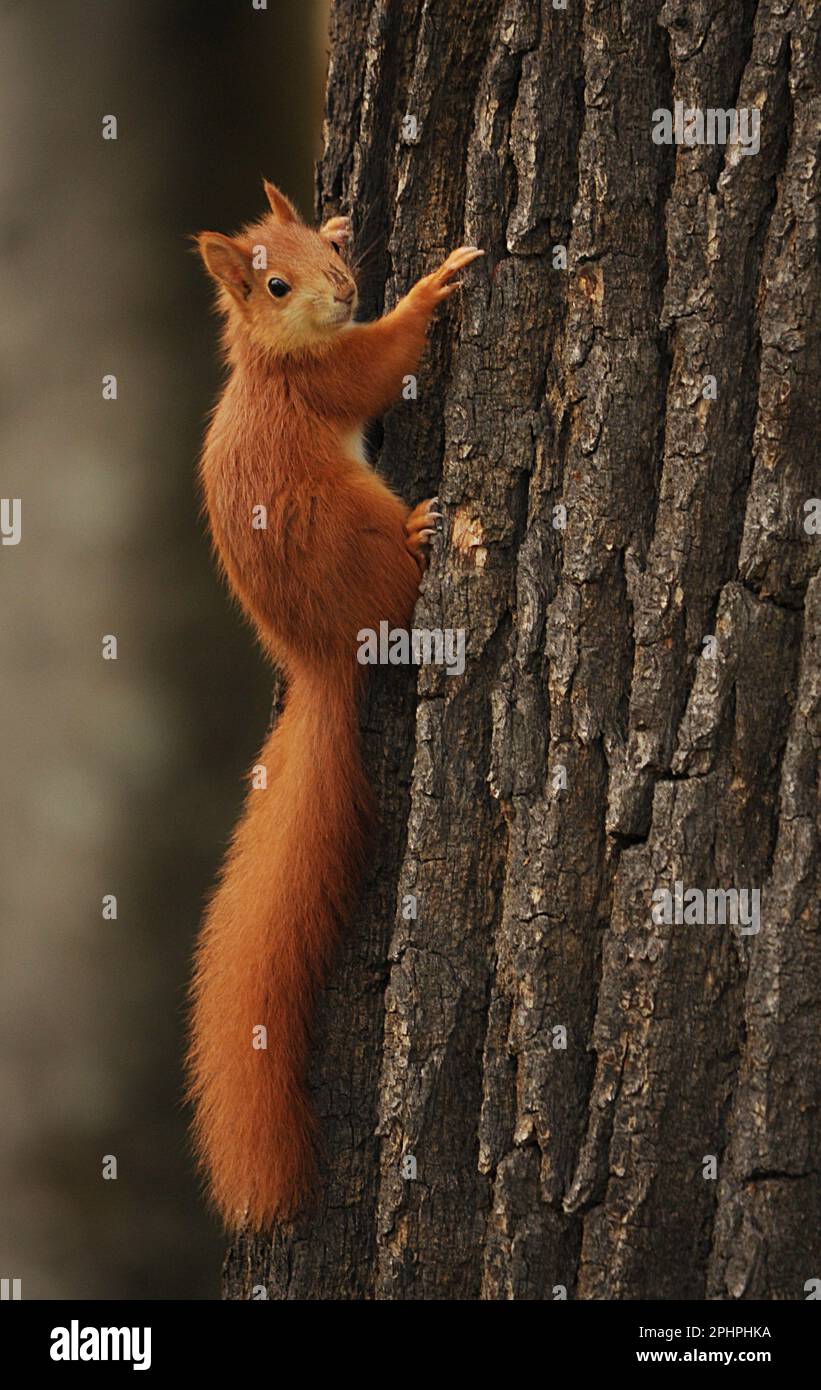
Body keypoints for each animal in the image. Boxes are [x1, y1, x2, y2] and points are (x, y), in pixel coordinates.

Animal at [186, 177, 483, 1229]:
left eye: (319, 248)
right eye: (272, 285)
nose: (347, 281)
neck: (273, 359)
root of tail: (315, 660)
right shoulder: (333, 379)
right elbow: (382, 360)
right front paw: (434, 287)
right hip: (351, 528)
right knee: (397, 579)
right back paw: (427, 530)